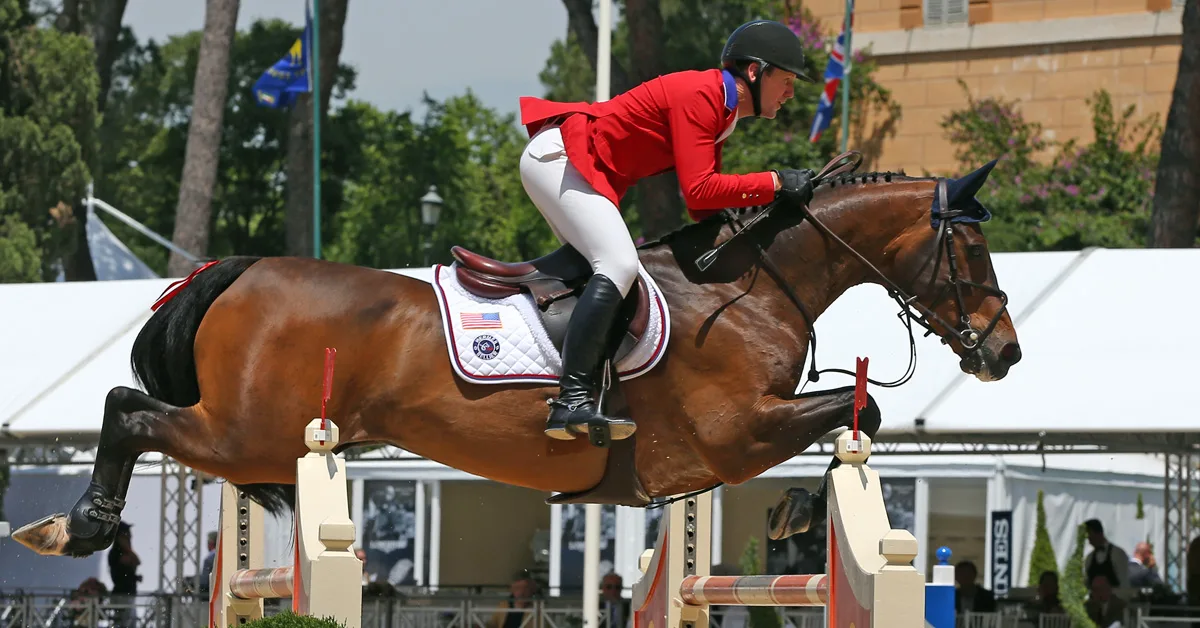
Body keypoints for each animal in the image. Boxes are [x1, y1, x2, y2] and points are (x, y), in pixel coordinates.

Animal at [12, 154, 1022, 558]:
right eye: (972, 252)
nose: (1006, 355)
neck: (750, 289)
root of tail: (239, 268)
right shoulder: (736, 435)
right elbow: (862, 412)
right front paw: (797, 521)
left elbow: (853, 417)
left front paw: (795, 521)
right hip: (247, 431)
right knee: (127, 409)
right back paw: (76, 527)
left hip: (252, 437)